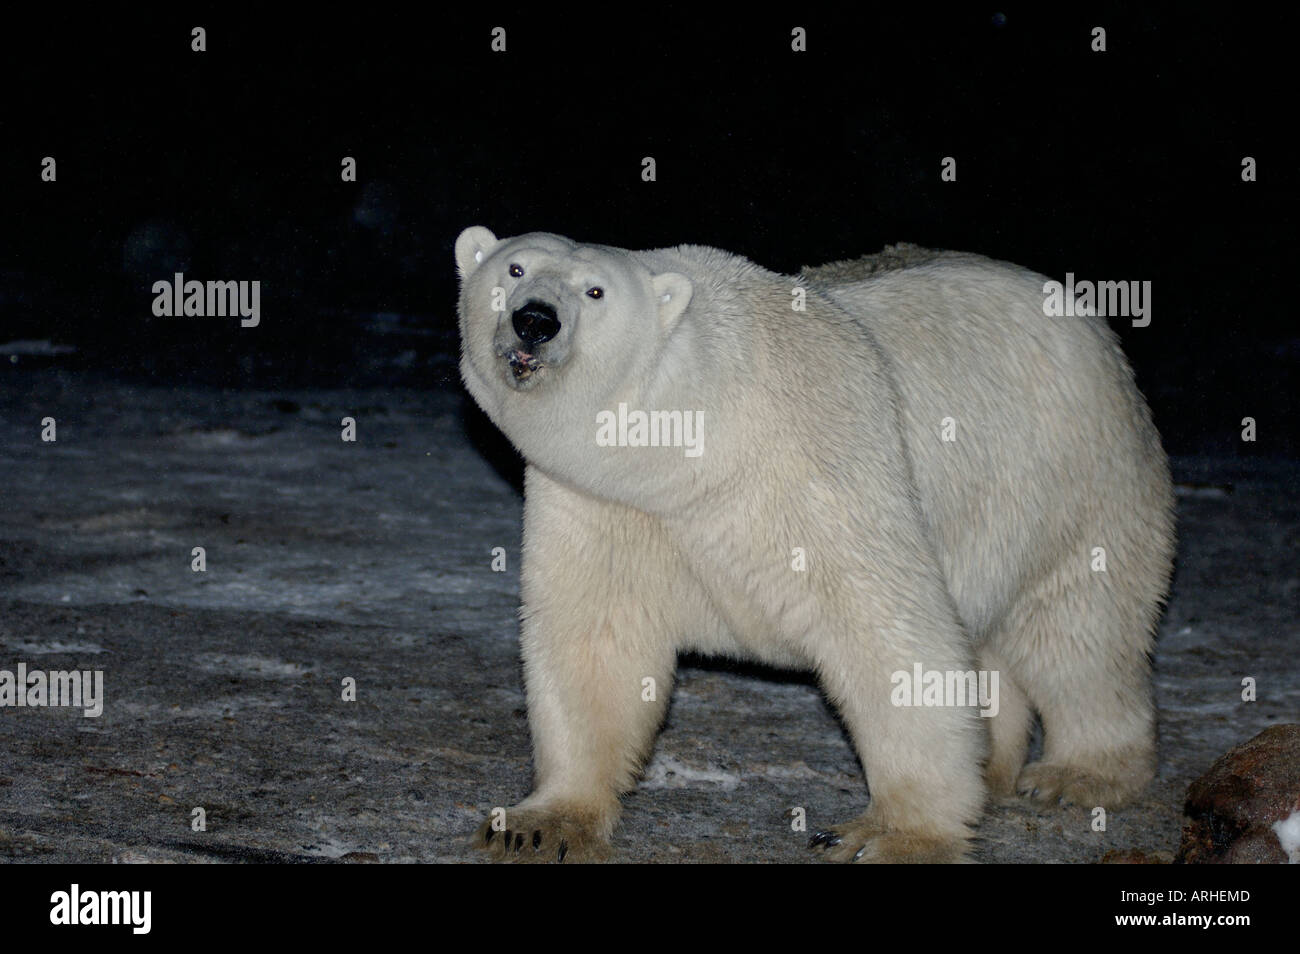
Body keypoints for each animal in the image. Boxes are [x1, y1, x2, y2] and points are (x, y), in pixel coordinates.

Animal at [454, 226, 1176, 863]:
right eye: (514, 268)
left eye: (596, 290)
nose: (535, 320)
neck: (688, 452)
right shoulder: (601, 499)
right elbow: (594, 639)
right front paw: (538, 824)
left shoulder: (811, 462)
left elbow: (887, 632)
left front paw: (892, 837)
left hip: (1074, 471)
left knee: (1077, 631)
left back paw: (1078, 775)